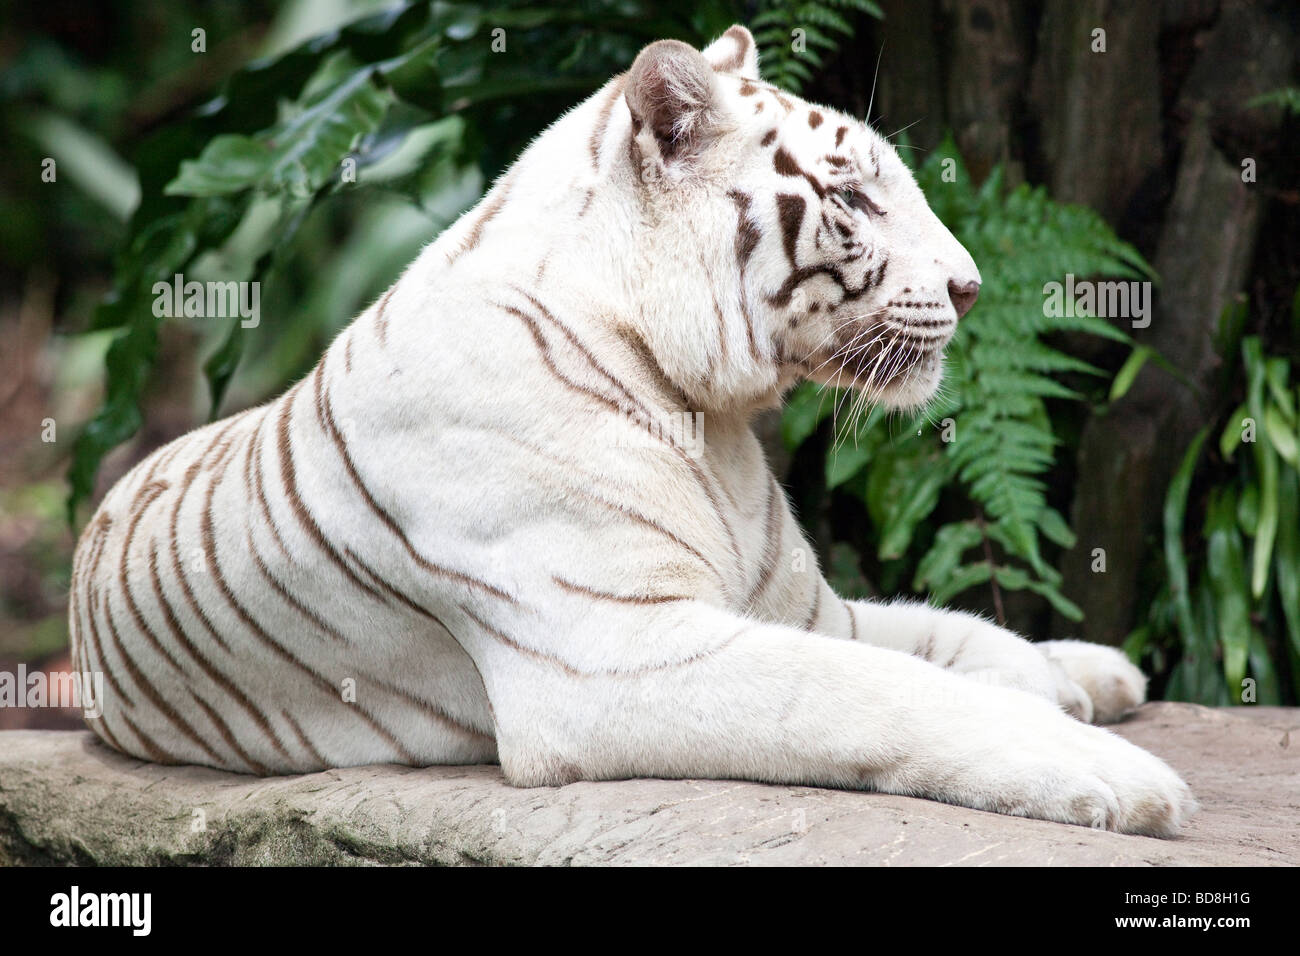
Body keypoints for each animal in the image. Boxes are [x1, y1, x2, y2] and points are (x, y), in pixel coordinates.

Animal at [69, 25, 1194, 837]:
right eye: (853, 196)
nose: (970, 287)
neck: (712, 419)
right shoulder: (613, 653)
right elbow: (884, 689)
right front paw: (1117, 774)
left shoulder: (798, 606)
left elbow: (948, 634)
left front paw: (1075, 676)